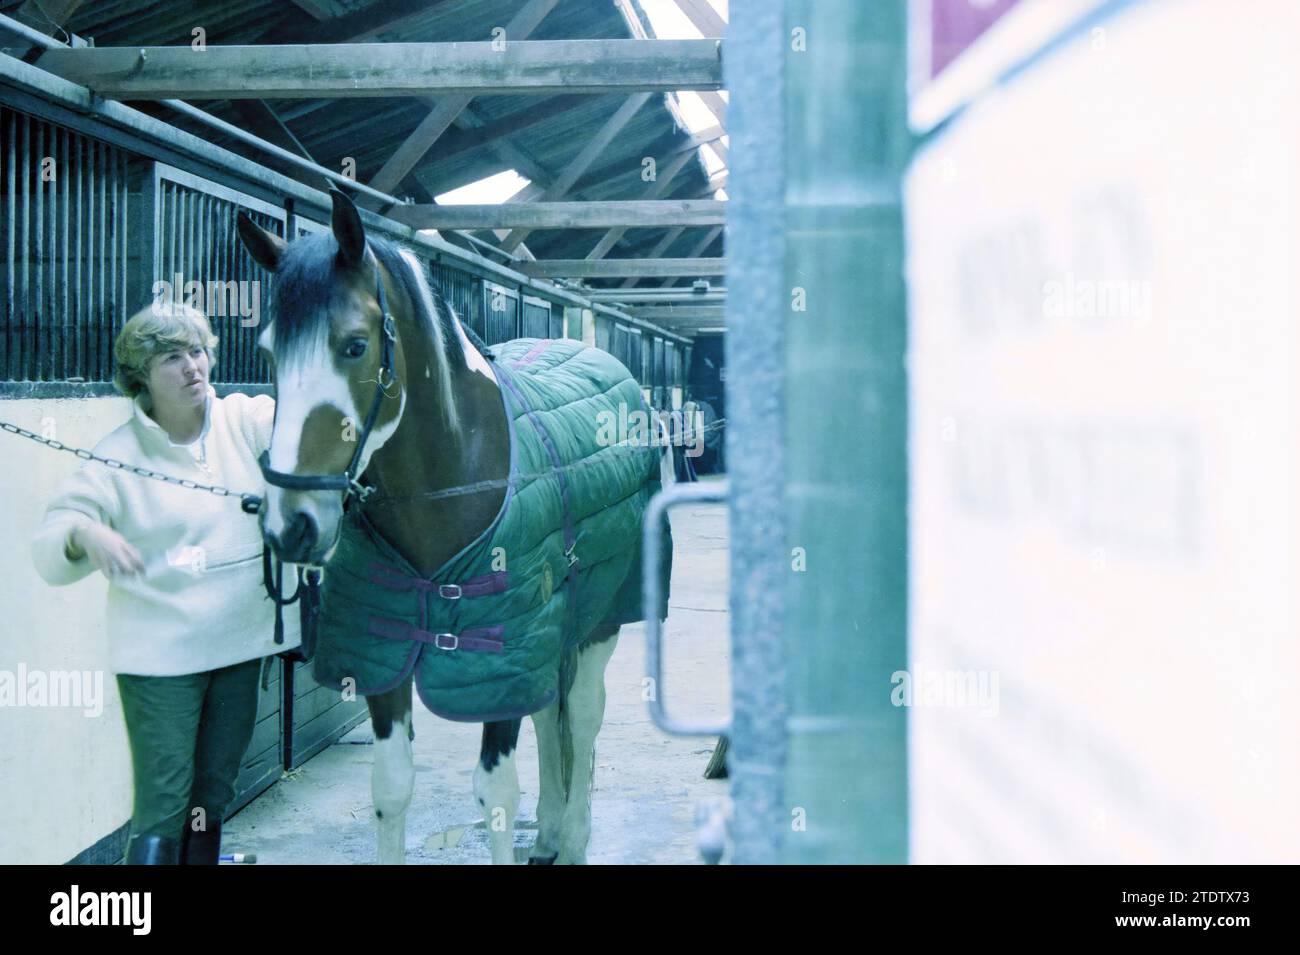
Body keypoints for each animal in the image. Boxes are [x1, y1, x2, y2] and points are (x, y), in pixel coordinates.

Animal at [235, 190, 672, 864]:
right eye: (267, 352)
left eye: (355, 345)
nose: (292, 525)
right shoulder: (387, 656)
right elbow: (392, 788)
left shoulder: (501, 660)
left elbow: (496, 796)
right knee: (552, 717)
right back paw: (549, 834)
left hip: (602, 619)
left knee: (582, 712)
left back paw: (573, 838)